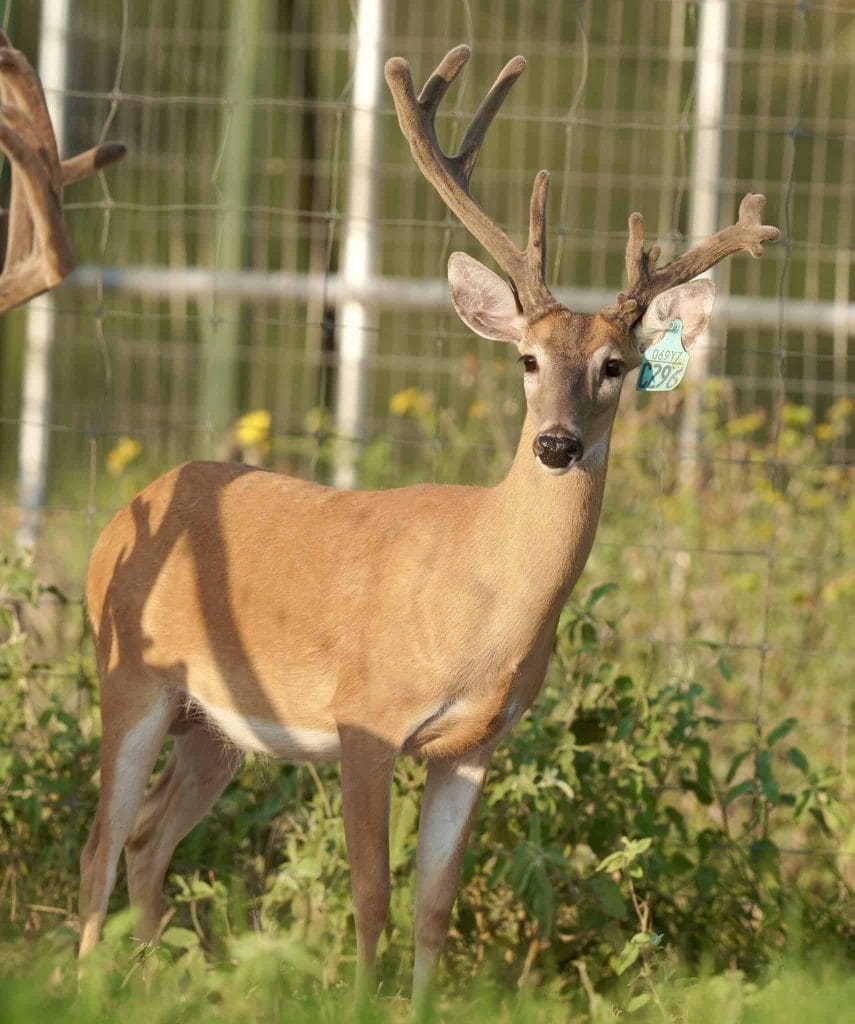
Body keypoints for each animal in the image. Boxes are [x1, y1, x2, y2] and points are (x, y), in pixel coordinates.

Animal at [78, 45, 779, 1004]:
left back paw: (152, 985)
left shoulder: (475, 745)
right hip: (130, 674)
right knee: (101, 848)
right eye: (526, 359)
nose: (556, 444)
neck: (482, 602)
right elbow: (371, 896)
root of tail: (120, 517)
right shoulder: (365, 718)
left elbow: (434, 907)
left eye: (615, 365)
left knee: (149, 844)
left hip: (217, 726)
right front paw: (358, 1005)